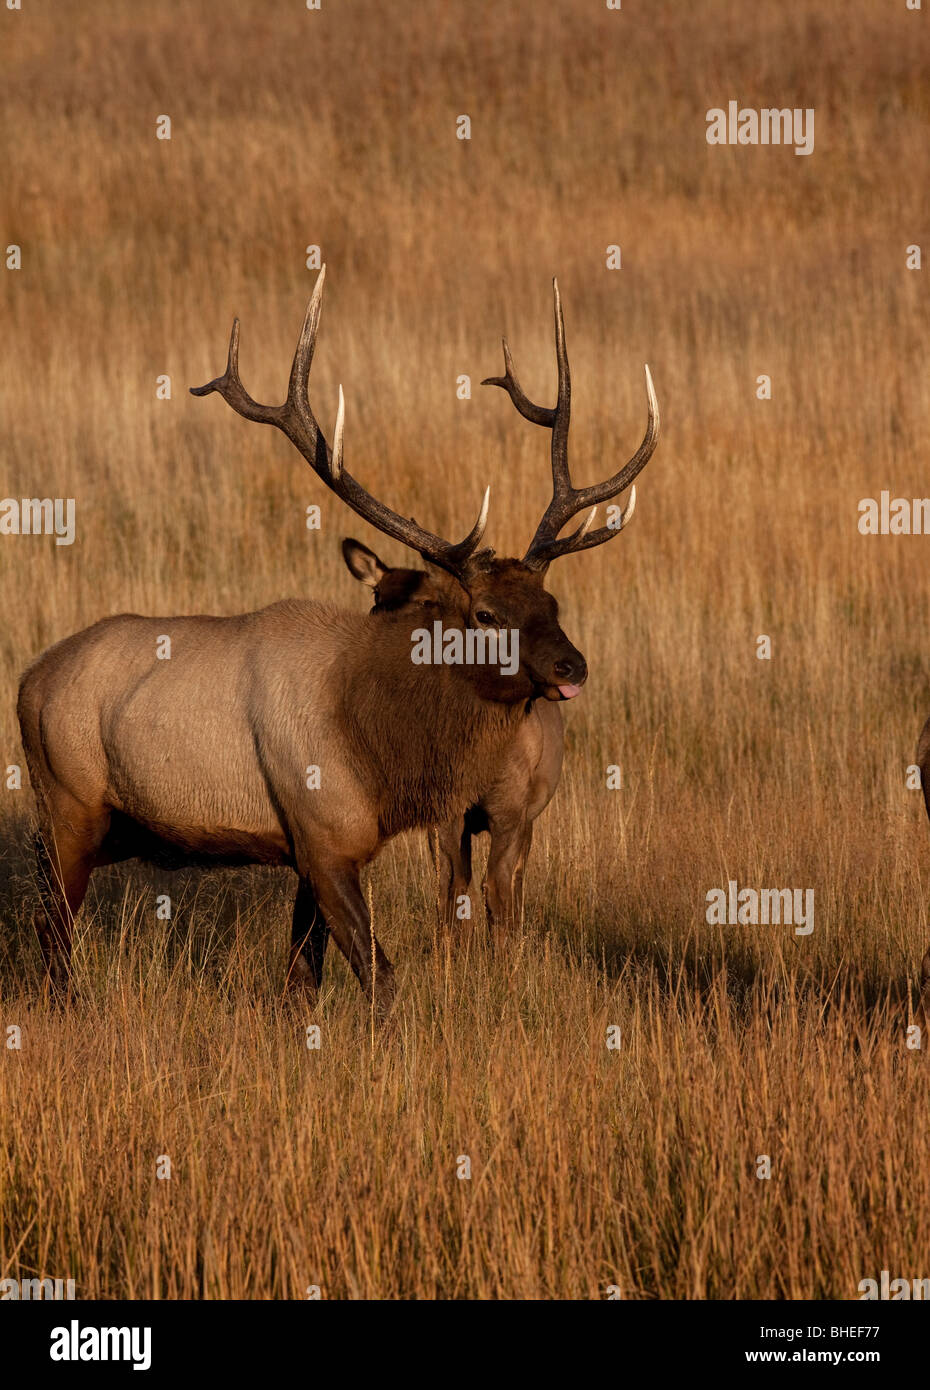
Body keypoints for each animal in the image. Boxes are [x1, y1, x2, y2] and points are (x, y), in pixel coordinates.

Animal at [16, 267, 658, 1014]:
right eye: (486, 614)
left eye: (551, 602)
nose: (571, 665)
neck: (380, 752)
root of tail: (28, 679)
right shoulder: (322, 834)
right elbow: (381, 979)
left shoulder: (319, 848)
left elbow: (303, 977)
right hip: (67, 802)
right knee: (53, 930)